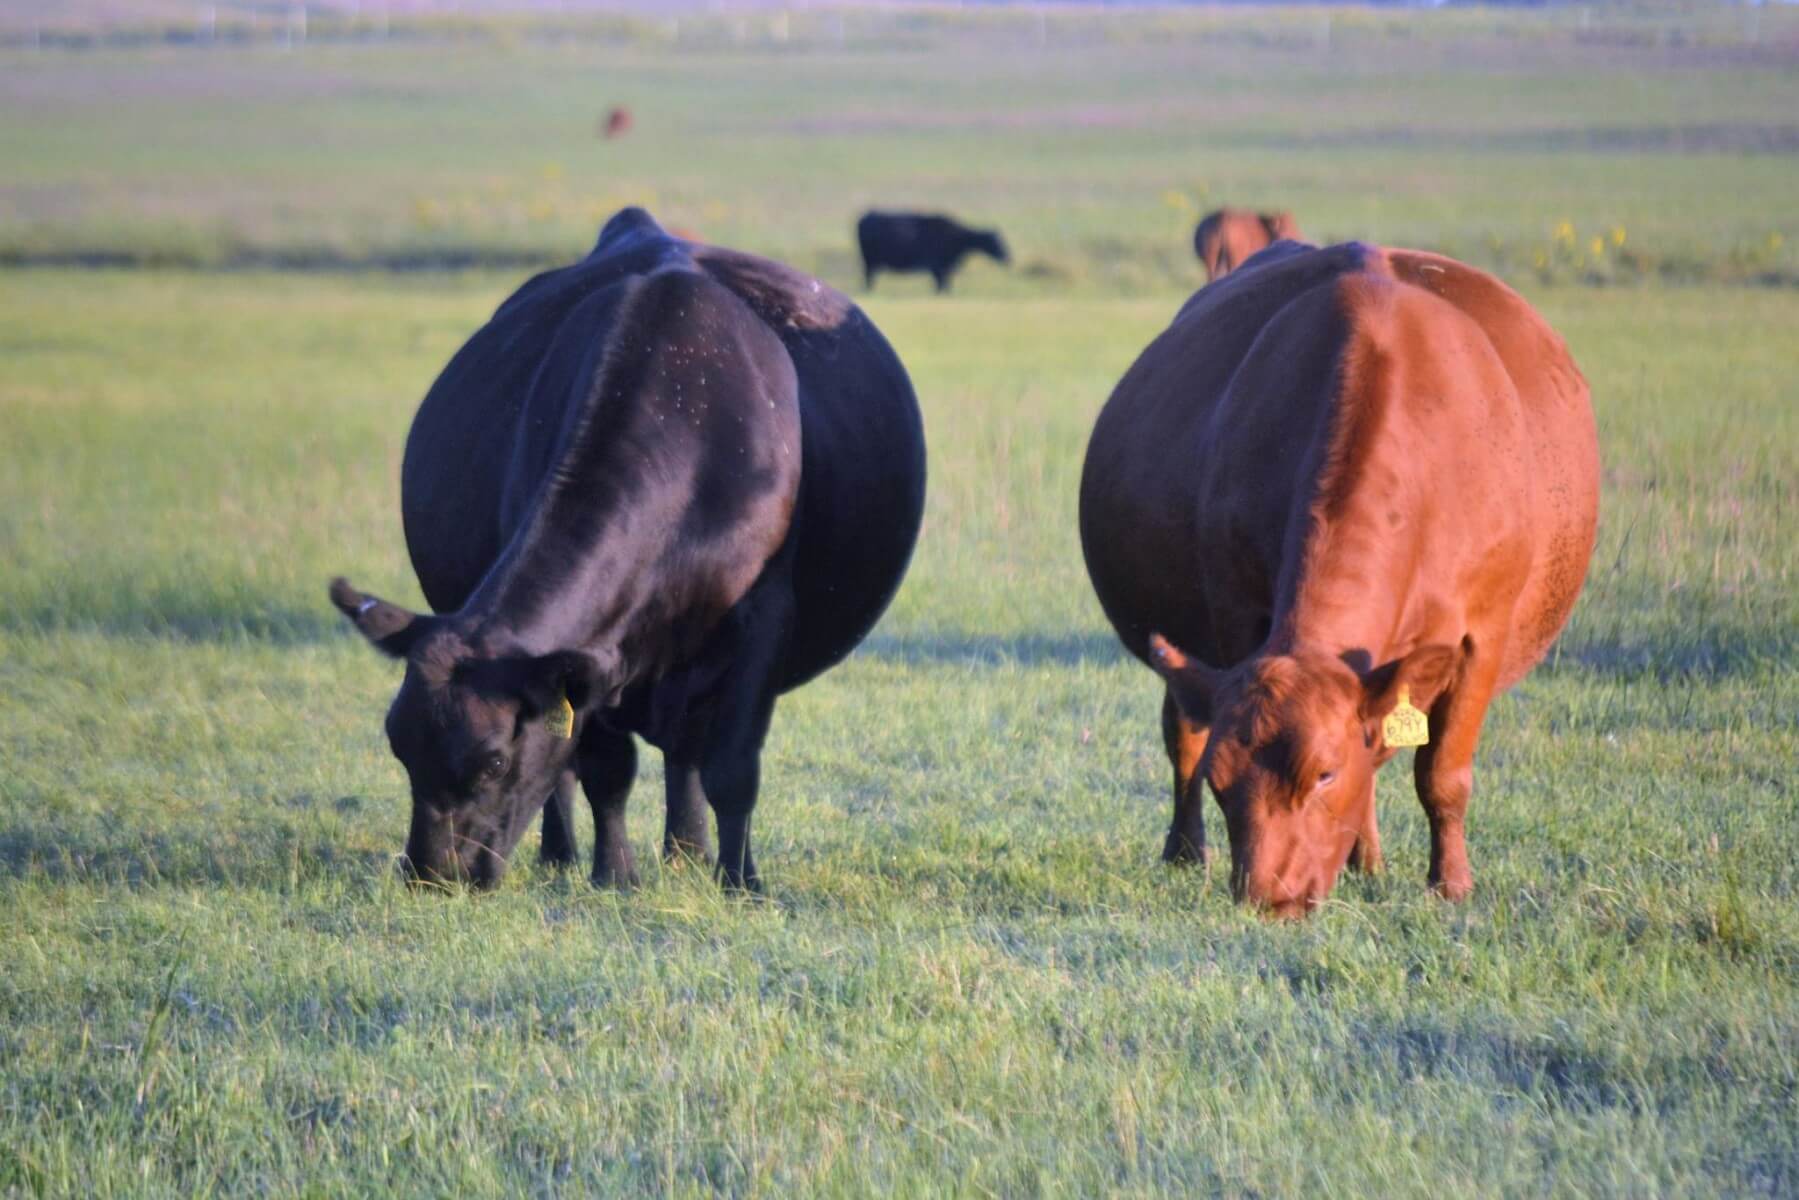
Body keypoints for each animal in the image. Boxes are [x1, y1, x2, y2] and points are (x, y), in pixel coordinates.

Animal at [329, 207, 926, 894]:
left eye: (493, 761)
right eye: (399, 746)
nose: (431, 875)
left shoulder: (762, 623)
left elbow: (733, 768)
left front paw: (740, 882)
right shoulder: (594, 660)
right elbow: (604, 769)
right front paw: (614, 875)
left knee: (688, 754)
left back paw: (690, 855)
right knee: (582, 773)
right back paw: (567, 856)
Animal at [856, 211, 1009, 293]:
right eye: (997, 241)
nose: (1008, 257)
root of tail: (864, 217)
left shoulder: (944, 270)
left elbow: (944, 288)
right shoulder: (938, 268)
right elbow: (941, 288)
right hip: (869, 261)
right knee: (868, 278)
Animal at [1079, 240, 1599, 917]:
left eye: (1324, 774)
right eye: (1223, 783)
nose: (1269, 899)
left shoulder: (1482, 636)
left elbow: (1441, 773)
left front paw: (1450, 884)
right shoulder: (1234, 618)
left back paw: (1367, 861)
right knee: (1182, 733)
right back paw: (1187, 851)